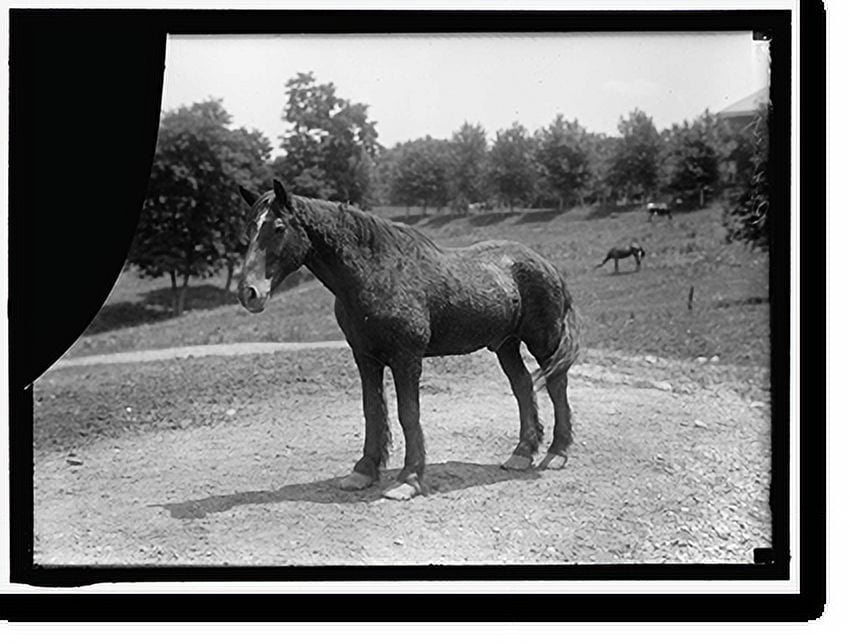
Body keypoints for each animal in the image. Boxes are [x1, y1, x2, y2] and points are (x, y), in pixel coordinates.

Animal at [237, 180, 580, 501]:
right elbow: (372, 410)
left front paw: (409, 479)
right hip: (506, 345)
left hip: (544, 342)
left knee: (556, 385)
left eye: (278, 227)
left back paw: (557, 453)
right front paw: (364, 471)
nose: (249, 292)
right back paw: (522, 453)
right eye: (250, 228)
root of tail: (547, 265)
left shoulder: (406, 358)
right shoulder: (365, 357)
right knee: (523, 386)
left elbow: (408, 414)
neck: (376, 274)